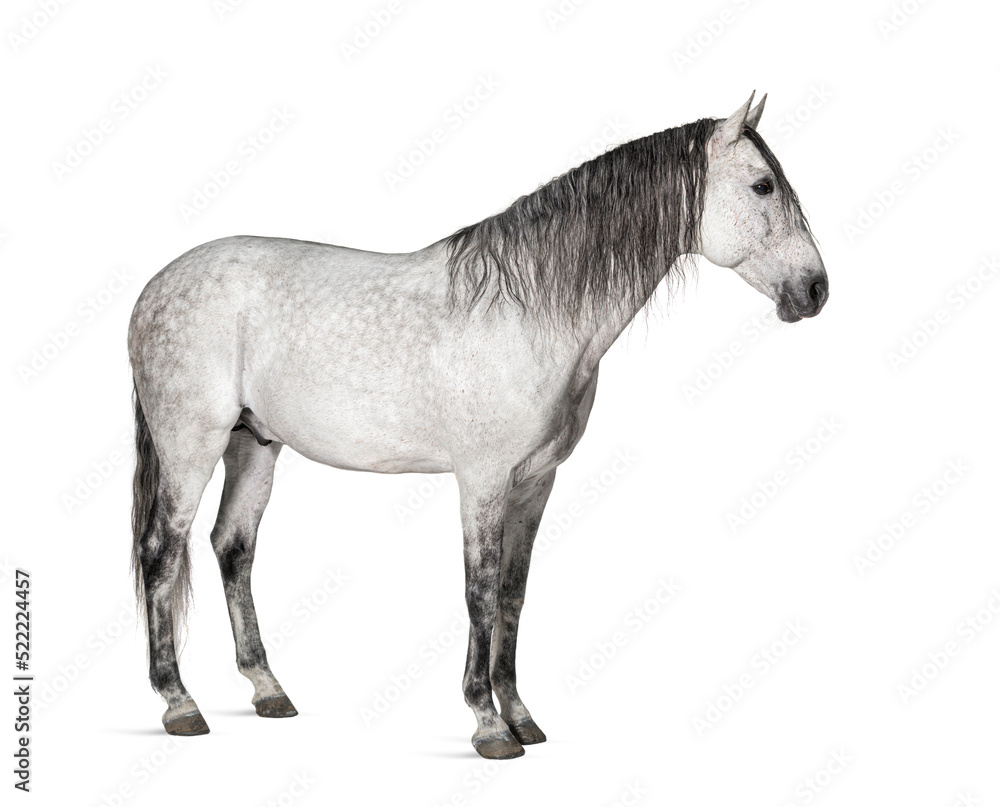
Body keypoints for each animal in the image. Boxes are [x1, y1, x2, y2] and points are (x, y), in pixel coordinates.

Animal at [128, 92, 828, 759]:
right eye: (764, 185)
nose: (816, 290)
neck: (529, 309)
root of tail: (155, 287)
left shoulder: (535, 483)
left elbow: (514, 594)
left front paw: (520, 716)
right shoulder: (483, 481)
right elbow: (481, 592)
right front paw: (488, 725)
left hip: (255, 445)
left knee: (233, 548)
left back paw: (268, 691)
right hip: (191, 447)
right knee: (161, 553)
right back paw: (179, 704)